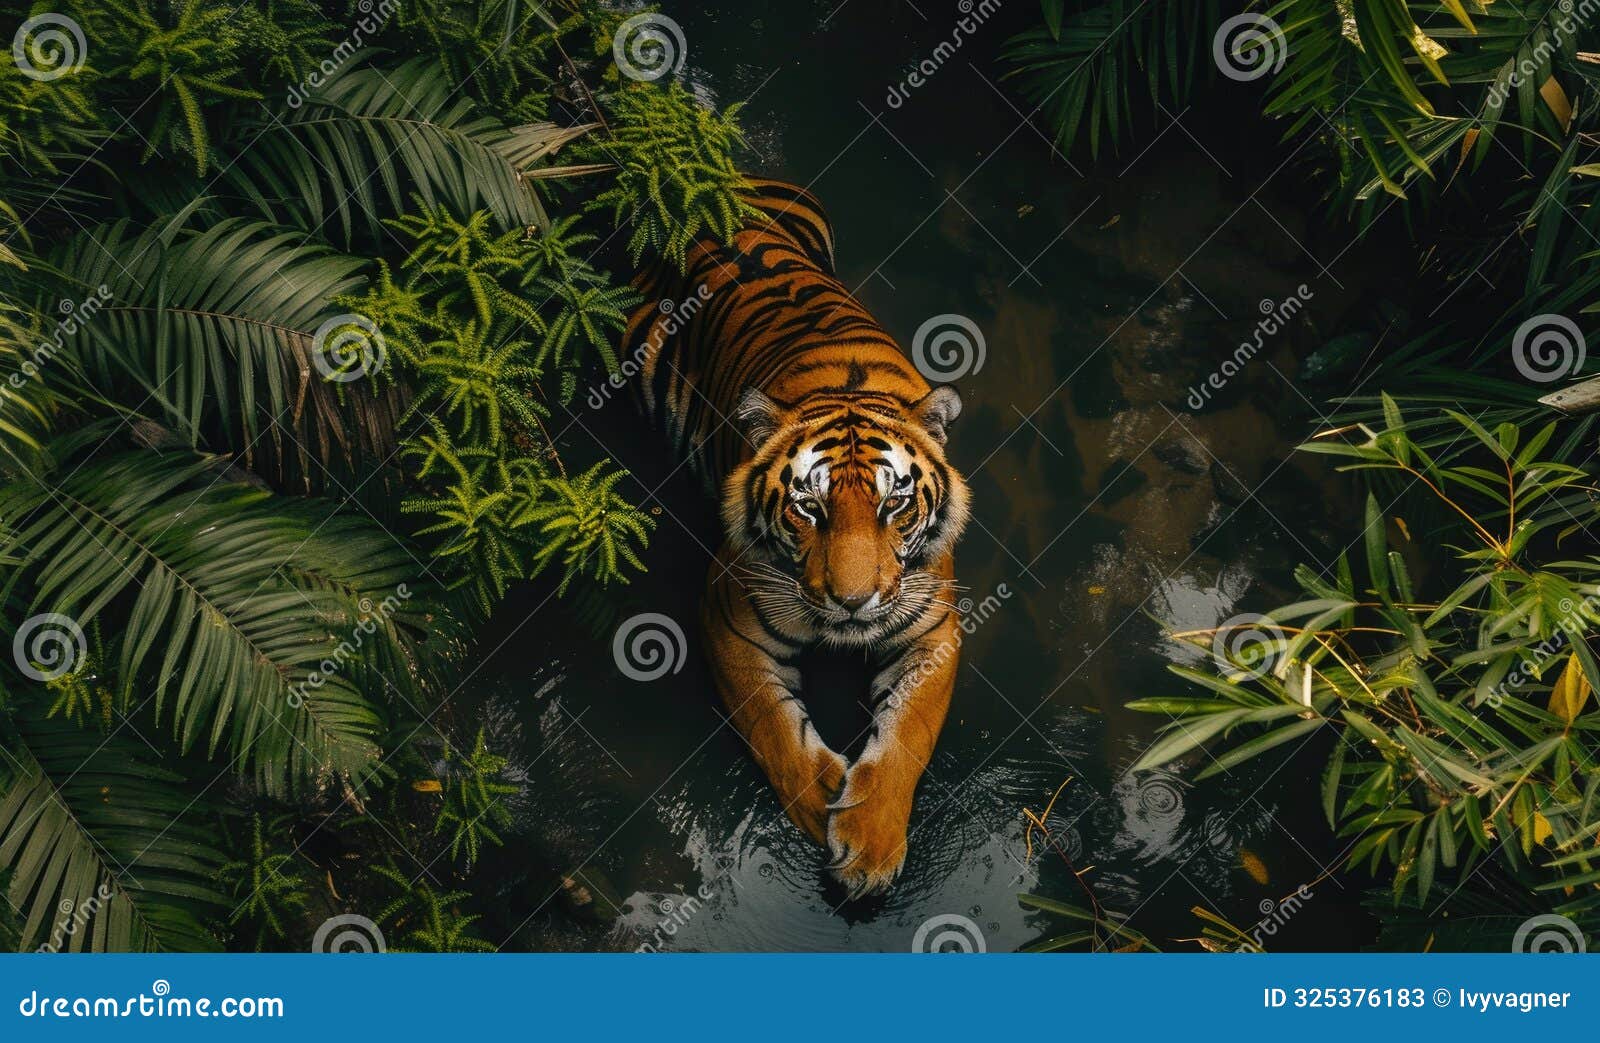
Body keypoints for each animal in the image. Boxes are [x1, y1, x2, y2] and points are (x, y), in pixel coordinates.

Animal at [624, 177, 971, 898]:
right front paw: (826, 805)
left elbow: (909, 733)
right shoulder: (729, 620)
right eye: (807, 507)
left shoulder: (934, 631)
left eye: (895, 503)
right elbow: (774, 729)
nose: (852, 601)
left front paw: (869, 844)